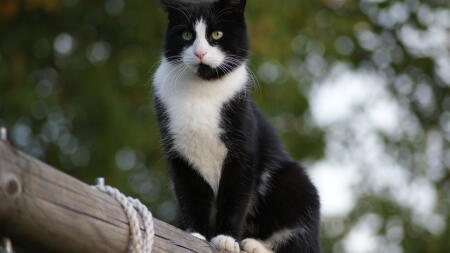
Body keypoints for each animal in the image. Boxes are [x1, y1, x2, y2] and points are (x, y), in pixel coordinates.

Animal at [153, 0, 322, 253]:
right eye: (186, 35)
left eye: (217, 34)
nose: (200, 52)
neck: (201, 91)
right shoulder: (180, 156)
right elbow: (190, 195)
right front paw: (195, 234)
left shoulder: (243, 148)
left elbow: (235, 195)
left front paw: (225, 239)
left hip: (295, 182)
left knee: (301, 243)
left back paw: (254, 244)